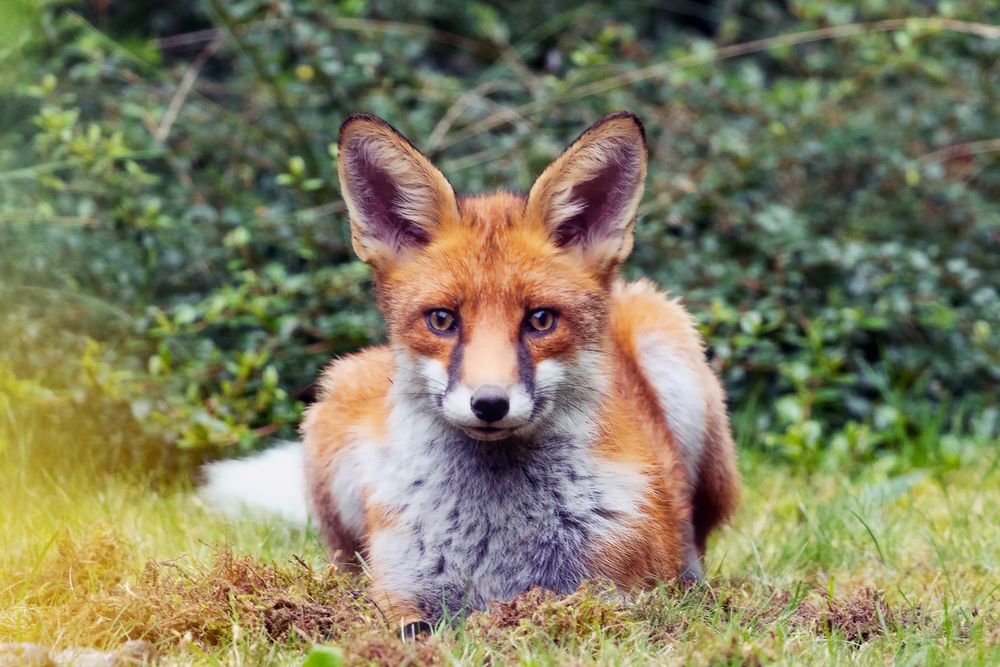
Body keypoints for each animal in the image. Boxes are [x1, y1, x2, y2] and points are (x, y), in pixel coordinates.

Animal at [202, 111, 739, 636]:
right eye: (442, 320)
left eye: (540, 320)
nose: (490, 403)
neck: (490, 539)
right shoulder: (394, 594)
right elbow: (406, 630)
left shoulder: (612, 596)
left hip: (670, 349)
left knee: (696, 540)